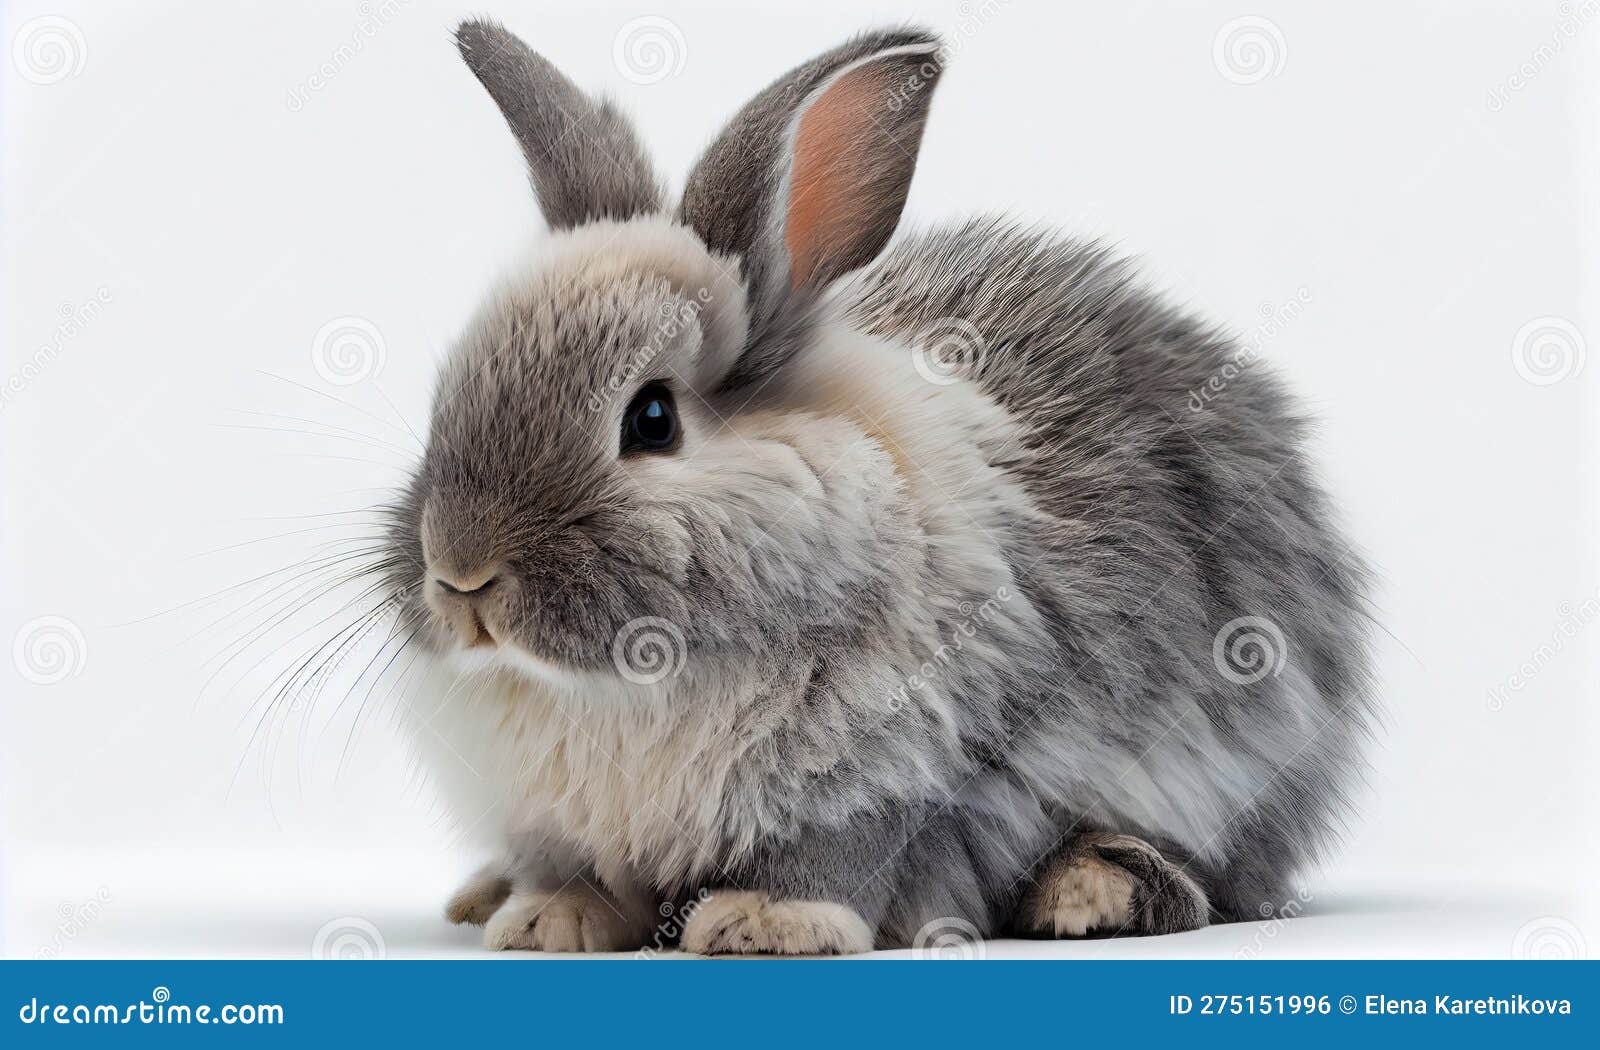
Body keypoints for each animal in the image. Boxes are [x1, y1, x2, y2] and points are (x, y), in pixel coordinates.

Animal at [374, 20, 1376, 954]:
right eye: (442, 402)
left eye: (652, 420)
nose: (460, 577)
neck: (625, 688)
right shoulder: (547, 817)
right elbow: (570, 871)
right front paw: (546, 922)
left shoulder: (881, 782)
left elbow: (833, 860)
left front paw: (764, 924)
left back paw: (1094, 889)